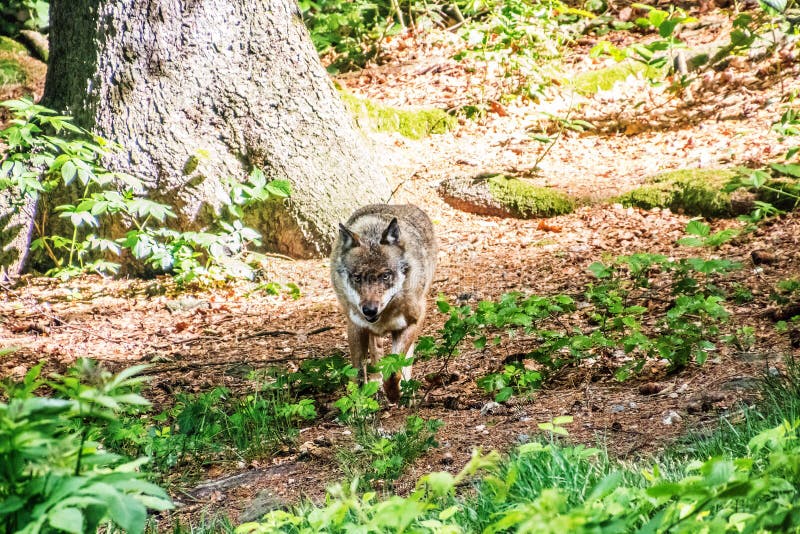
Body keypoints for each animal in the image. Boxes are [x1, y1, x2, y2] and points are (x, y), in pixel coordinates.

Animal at [330, 204, 437, 403]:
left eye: (385, 276)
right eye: (357, 277)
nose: (369, 310)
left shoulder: (413, 321)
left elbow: (394, 368)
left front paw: (394, 394)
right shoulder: (355, 326)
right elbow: (358, 375)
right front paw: (360, 404)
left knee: (406, 359)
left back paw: (407, 393)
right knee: (376, 352)